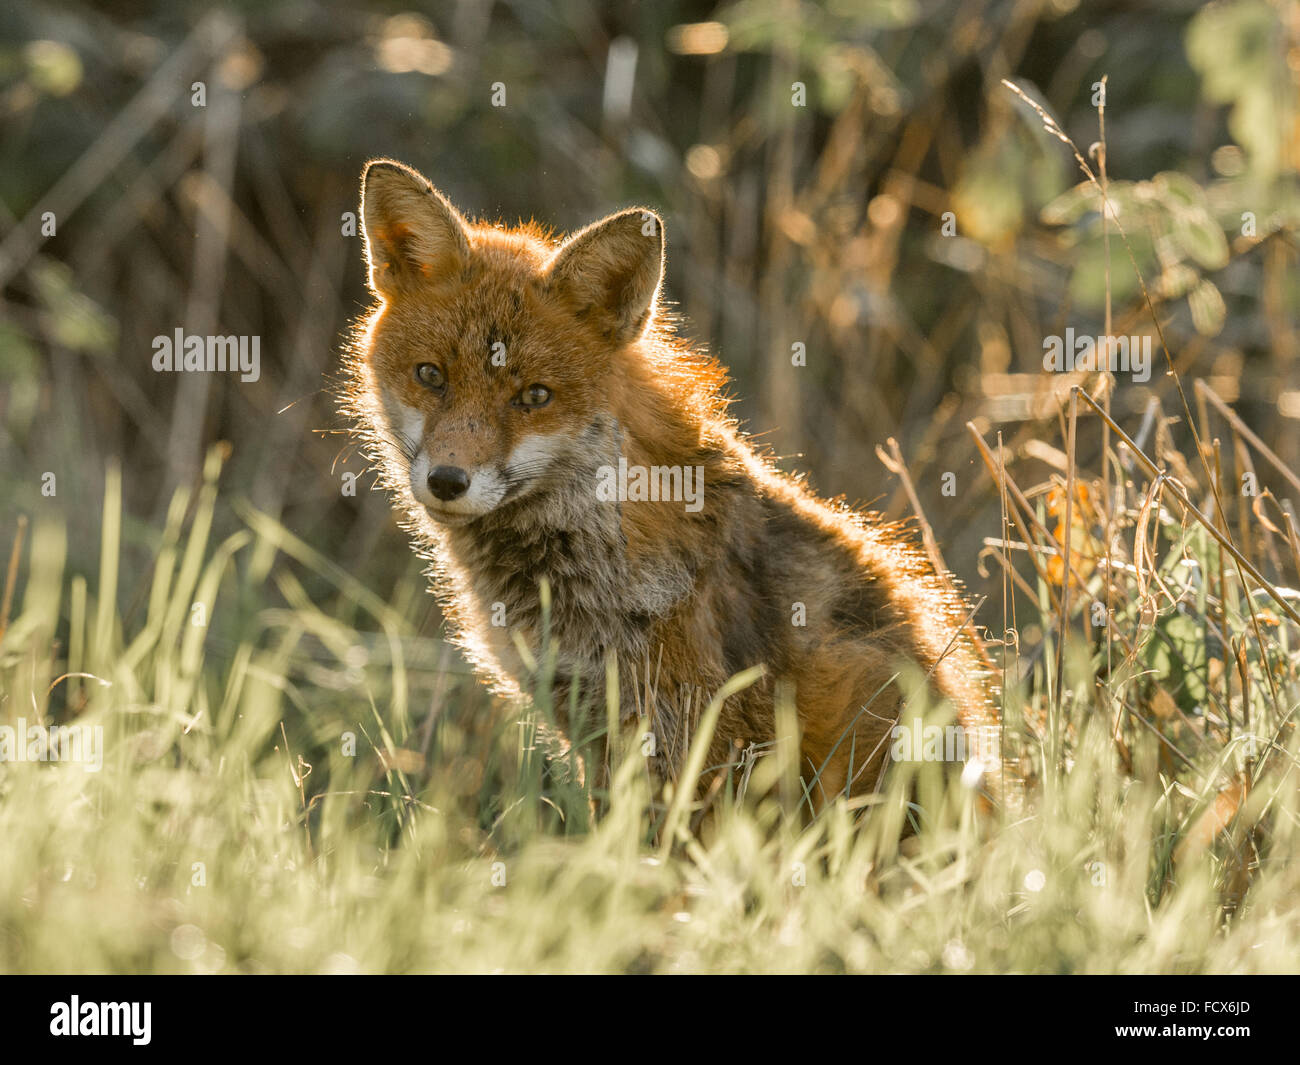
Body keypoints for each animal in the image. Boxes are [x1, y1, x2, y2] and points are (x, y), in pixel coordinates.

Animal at [341, 158, 1002, 812]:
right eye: (432, 375)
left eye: (534, 397)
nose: (447, 480)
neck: (598, 536)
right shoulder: (592, 720)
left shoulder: (692, 728)